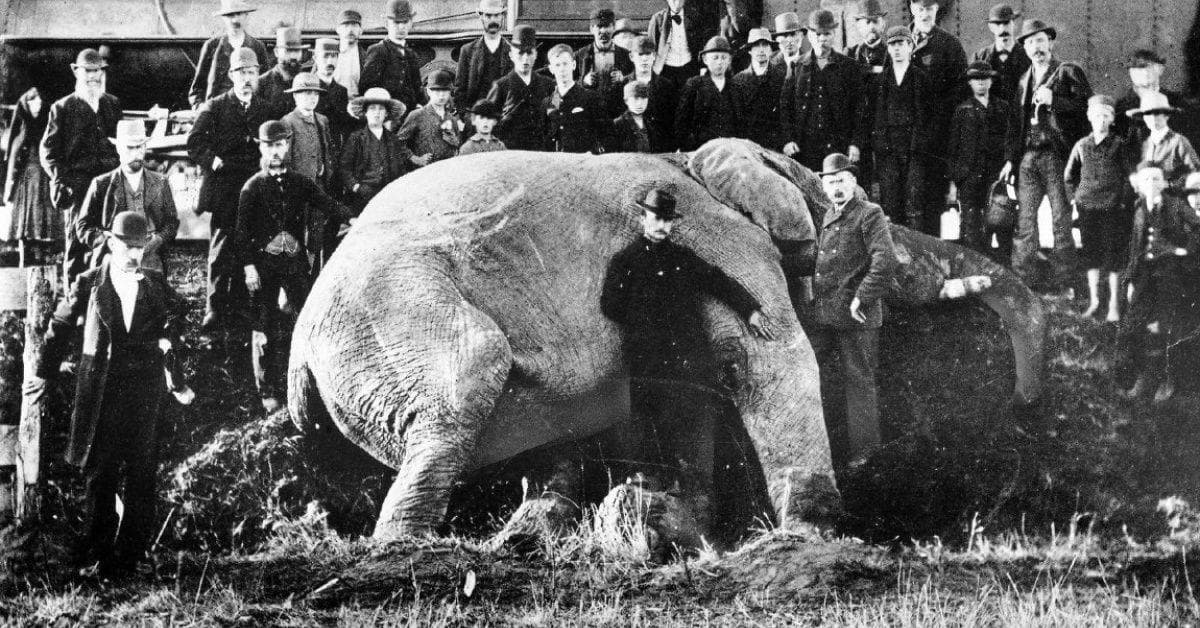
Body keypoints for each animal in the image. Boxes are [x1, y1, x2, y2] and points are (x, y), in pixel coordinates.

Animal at [287, 139, 1045, 541]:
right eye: (837, 215)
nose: (1023, 404)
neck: (700, 160)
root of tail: (297, 349)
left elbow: (699, 385)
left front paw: (689, 522)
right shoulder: (723, 241)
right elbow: (766, 354)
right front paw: (817, 531)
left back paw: (528, 534)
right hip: (399, 318)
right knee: (470, 377)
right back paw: (410, 551)